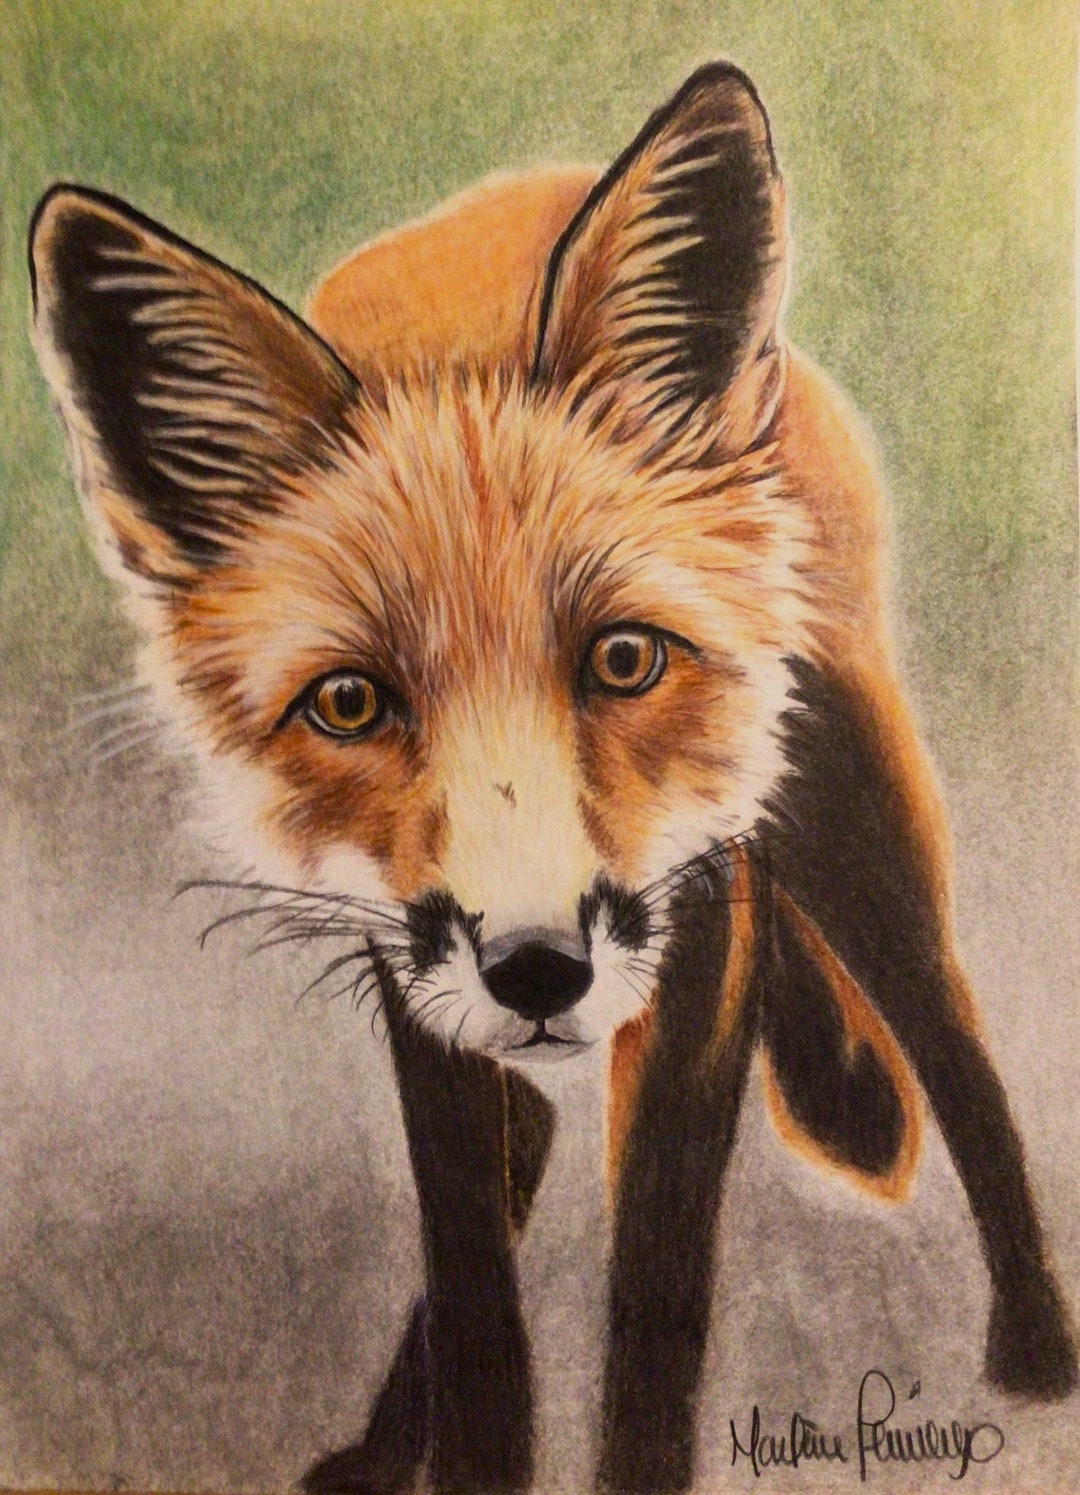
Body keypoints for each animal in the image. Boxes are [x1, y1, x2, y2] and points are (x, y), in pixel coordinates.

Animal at [29, 60, 1076, 1495]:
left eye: (624, 657)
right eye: (350, 702)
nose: (536, 968)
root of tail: (535, 180)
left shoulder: (700, 930)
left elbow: (656, 1300)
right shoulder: (409, 964)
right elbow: (476, 1281)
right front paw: (464, 1455)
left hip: (858, 823)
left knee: (956, 1039)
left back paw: (1038, 1344)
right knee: (527, 1123)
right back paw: (381, 1441)